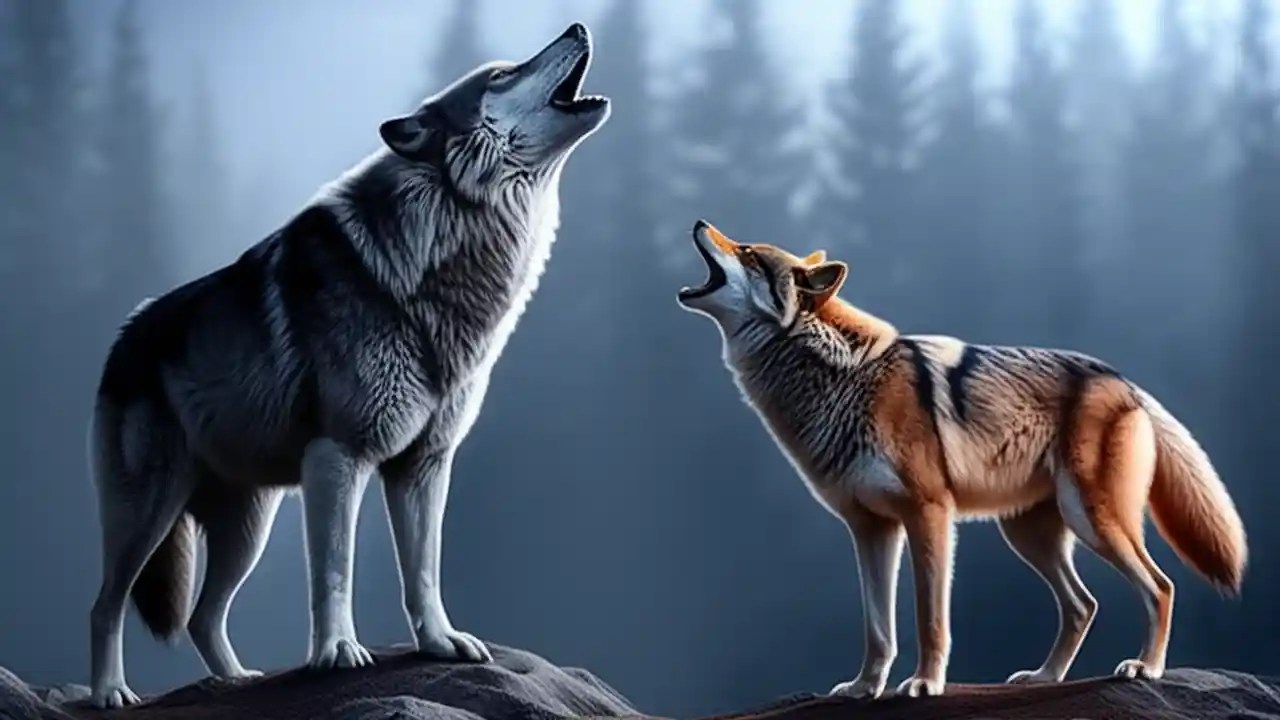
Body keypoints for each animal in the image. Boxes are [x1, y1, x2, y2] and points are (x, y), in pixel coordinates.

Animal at [86, 24, 609, 708]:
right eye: (500, 74)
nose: (577, 27)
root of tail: (124, 335)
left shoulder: (423, 465)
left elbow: (423, 571)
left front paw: (440, 643)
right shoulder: (339, 457)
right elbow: (336, 568)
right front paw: (336, 653)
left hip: (248, 528)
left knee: (203, 614)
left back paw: (237, 681)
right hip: (150, 513)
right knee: (105, 605)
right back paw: (111, 693)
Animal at [676, 220, 1246, 700]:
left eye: (748, 252)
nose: (700, 221)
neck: (841, 377)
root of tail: (1125, 381)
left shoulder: (930, 515)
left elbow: (930, 618)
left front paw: (925, 684)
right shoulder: (871, 530)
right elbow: (878, 629)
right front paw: (864, 689)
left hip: (1094, 521)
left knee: (1161, 586)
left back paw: (1146, 668)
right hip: (1029, 536)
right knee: (1084, 604)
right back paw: (1044, 678)